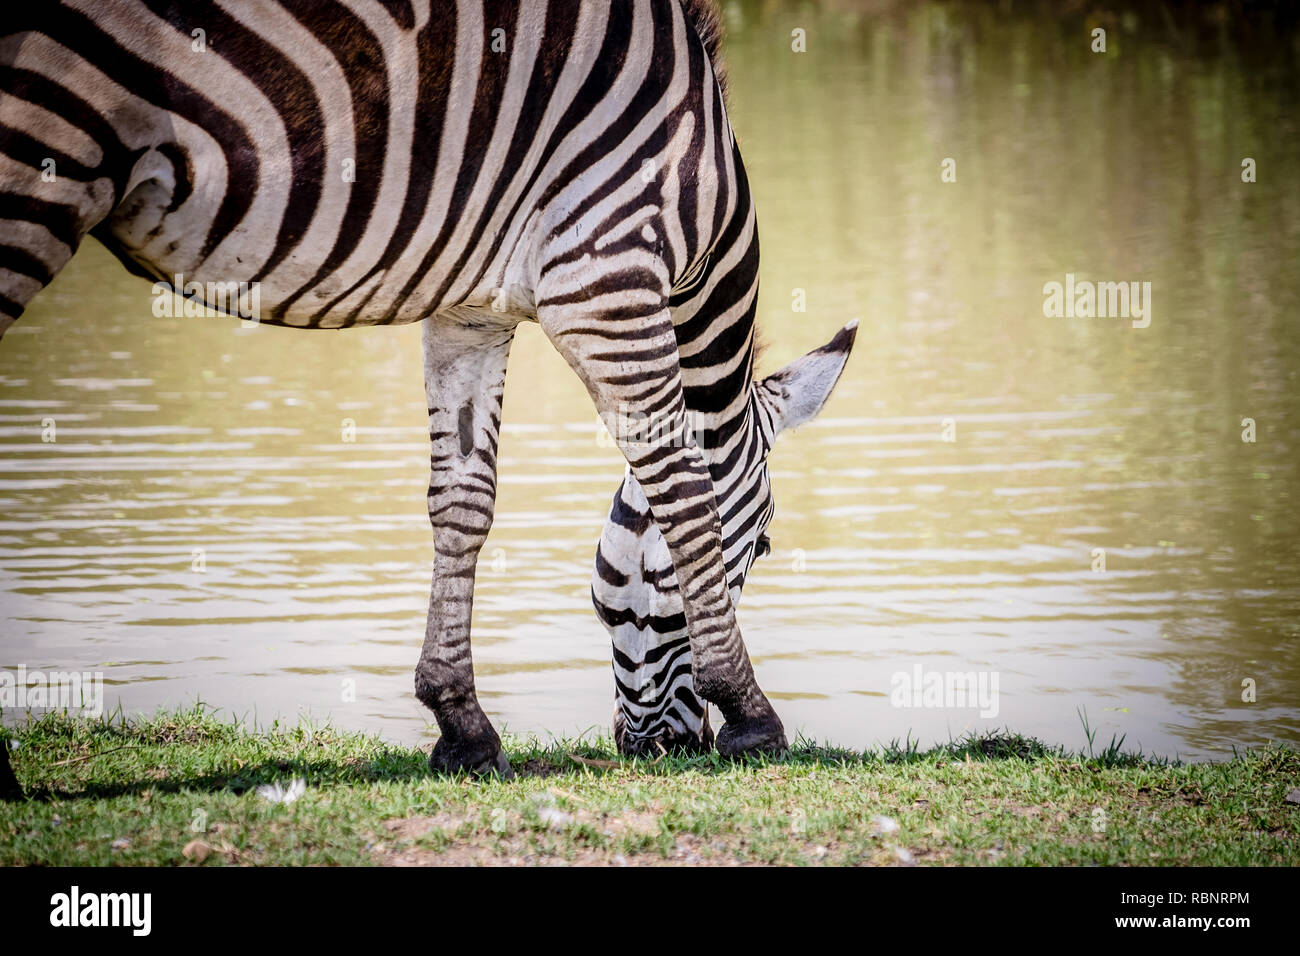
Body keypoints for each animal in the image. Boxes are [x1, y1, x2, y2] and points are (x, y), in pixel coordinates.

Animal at [0, 0, 856, 794]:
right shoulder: (605, 268)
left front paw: (462, 726)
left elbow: (463, 501)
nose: (673, 746)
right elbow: (681, 488)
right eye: (765, 546)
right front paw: (749, 713)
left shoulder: (472, 308)